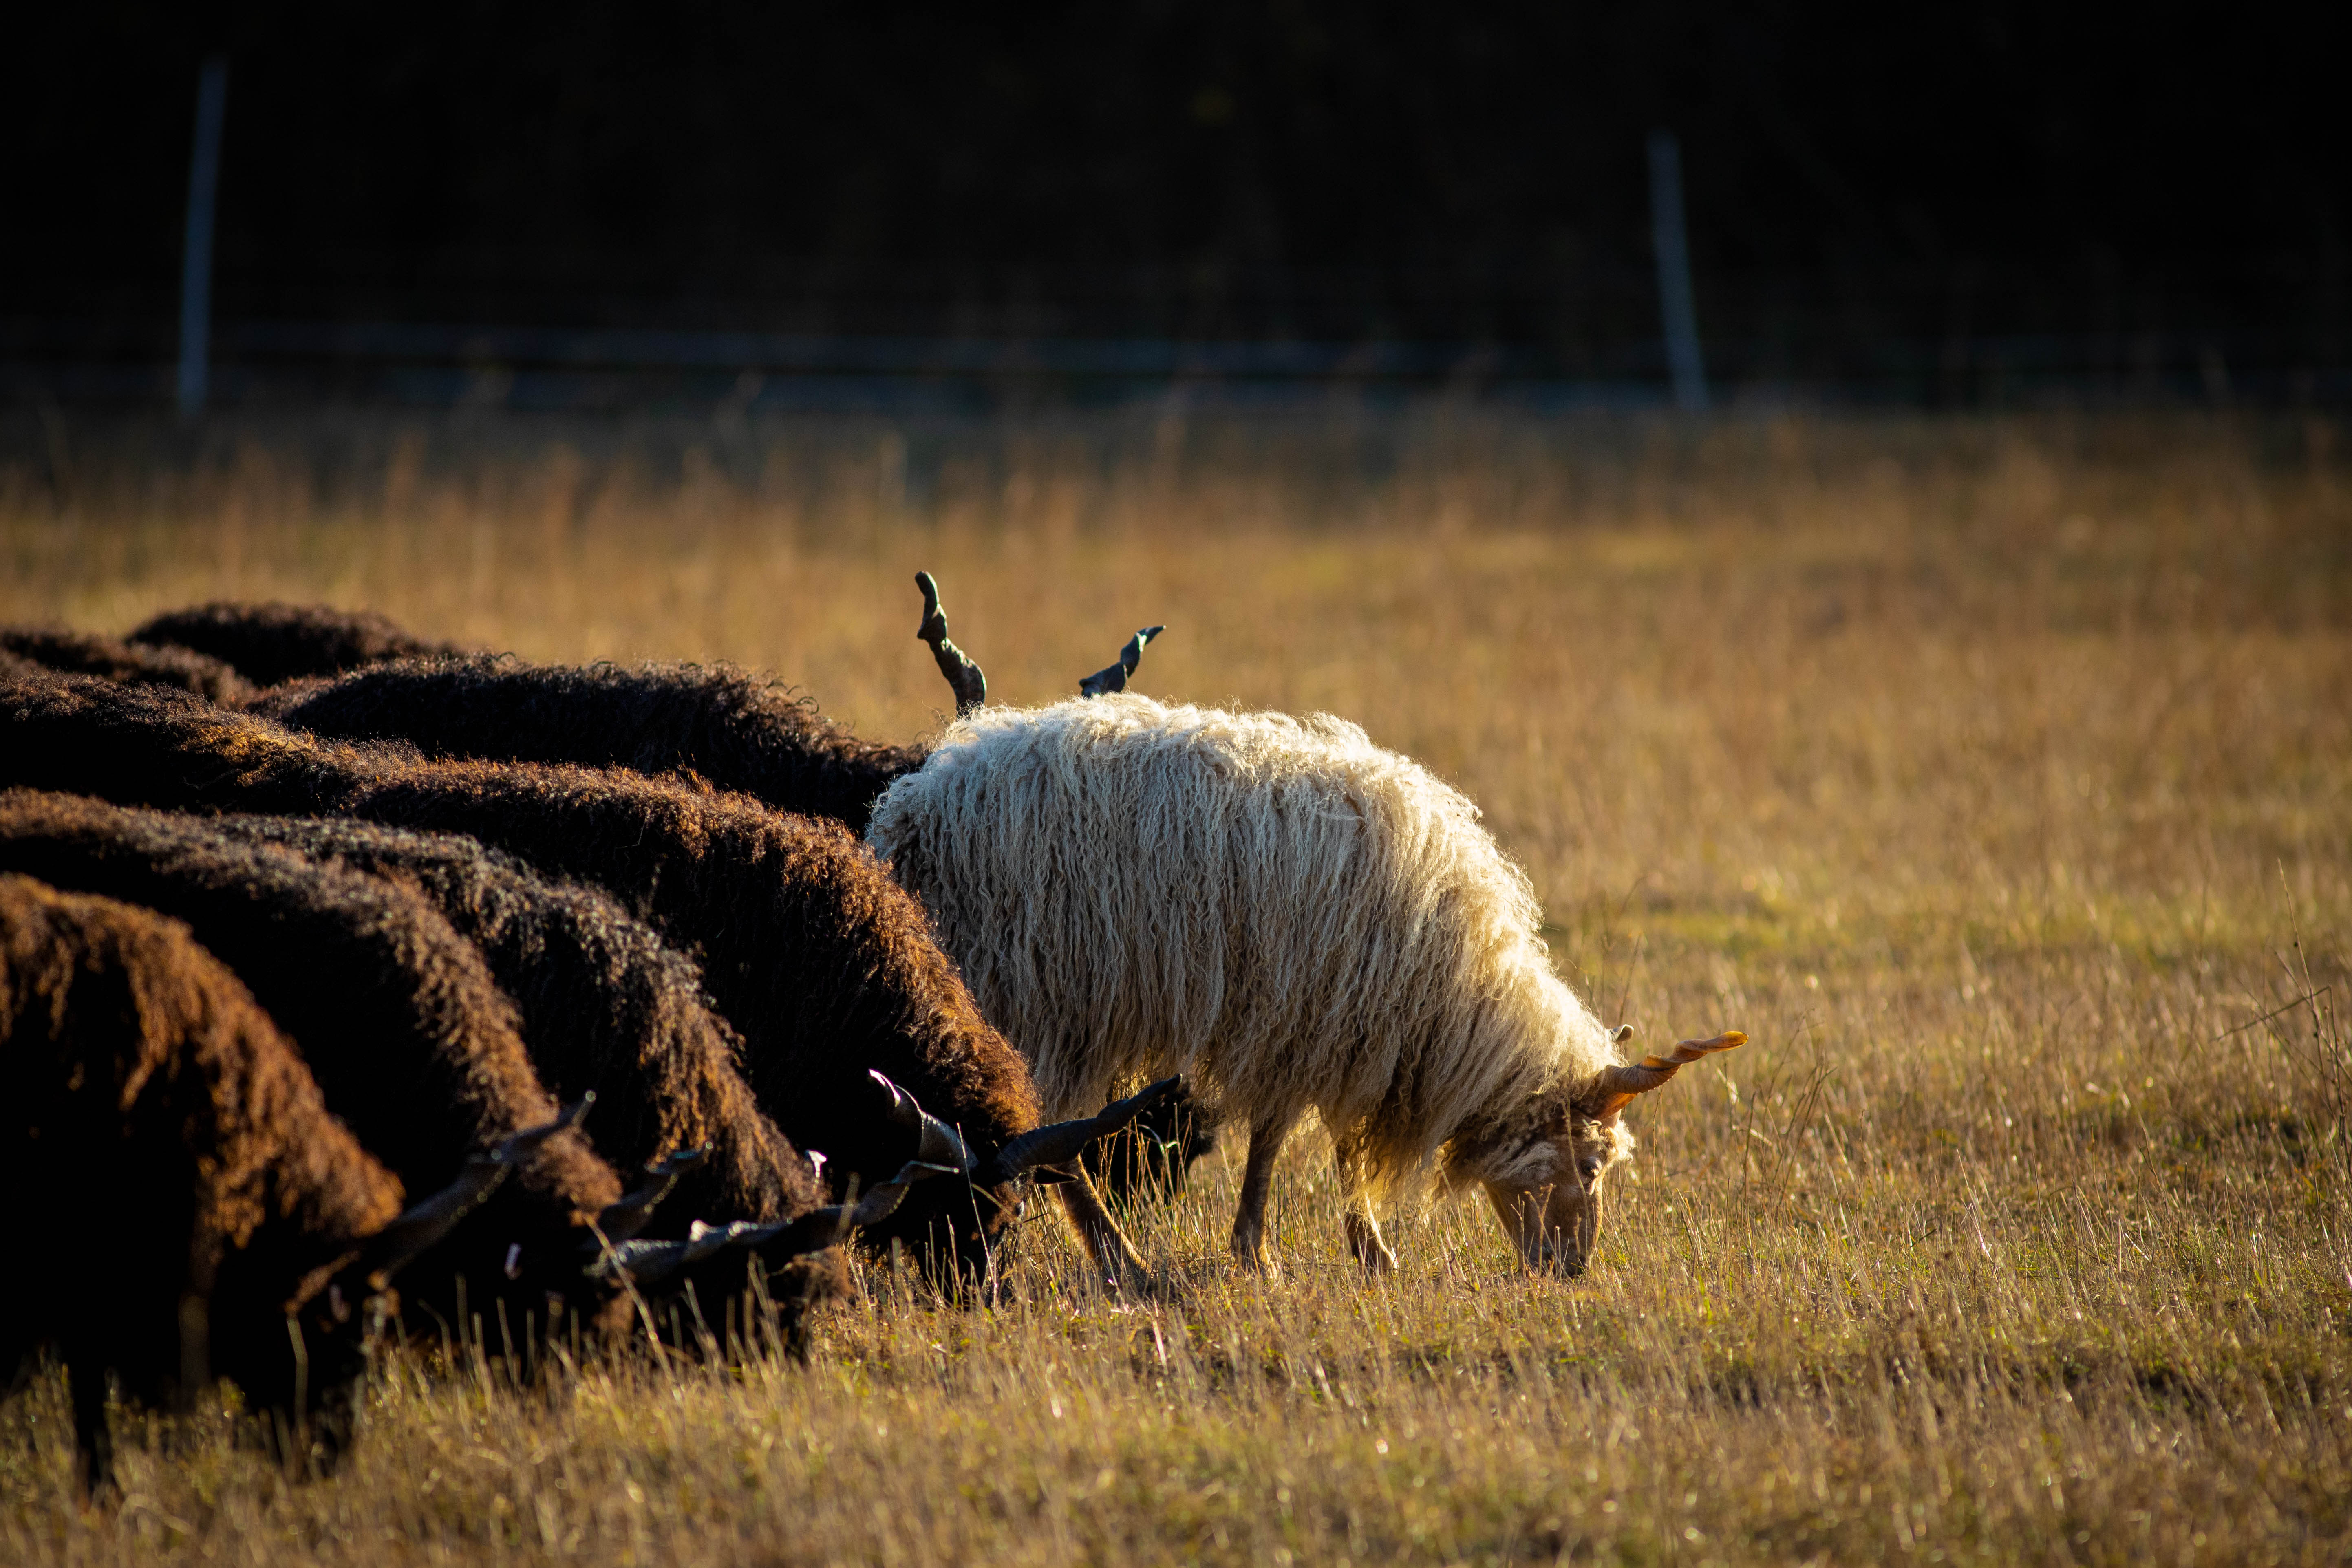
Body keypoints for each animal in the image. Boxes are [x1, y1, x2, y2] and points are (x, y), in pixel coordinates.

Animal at [865, 695, 1746, 1277]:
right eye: (1589, 1166)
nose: (1569, 1270)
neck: (1453, 1002)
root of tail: (908, 808)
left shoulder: (1325, 1022)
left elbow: (1306, 1139)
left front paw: (1329, 1247)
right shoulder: (1315, 1016)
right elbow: (1306, 1142)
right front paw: (1326, 1250)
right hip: (1034, 997)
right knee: (1052, 1147)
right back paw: (1125, 1266)